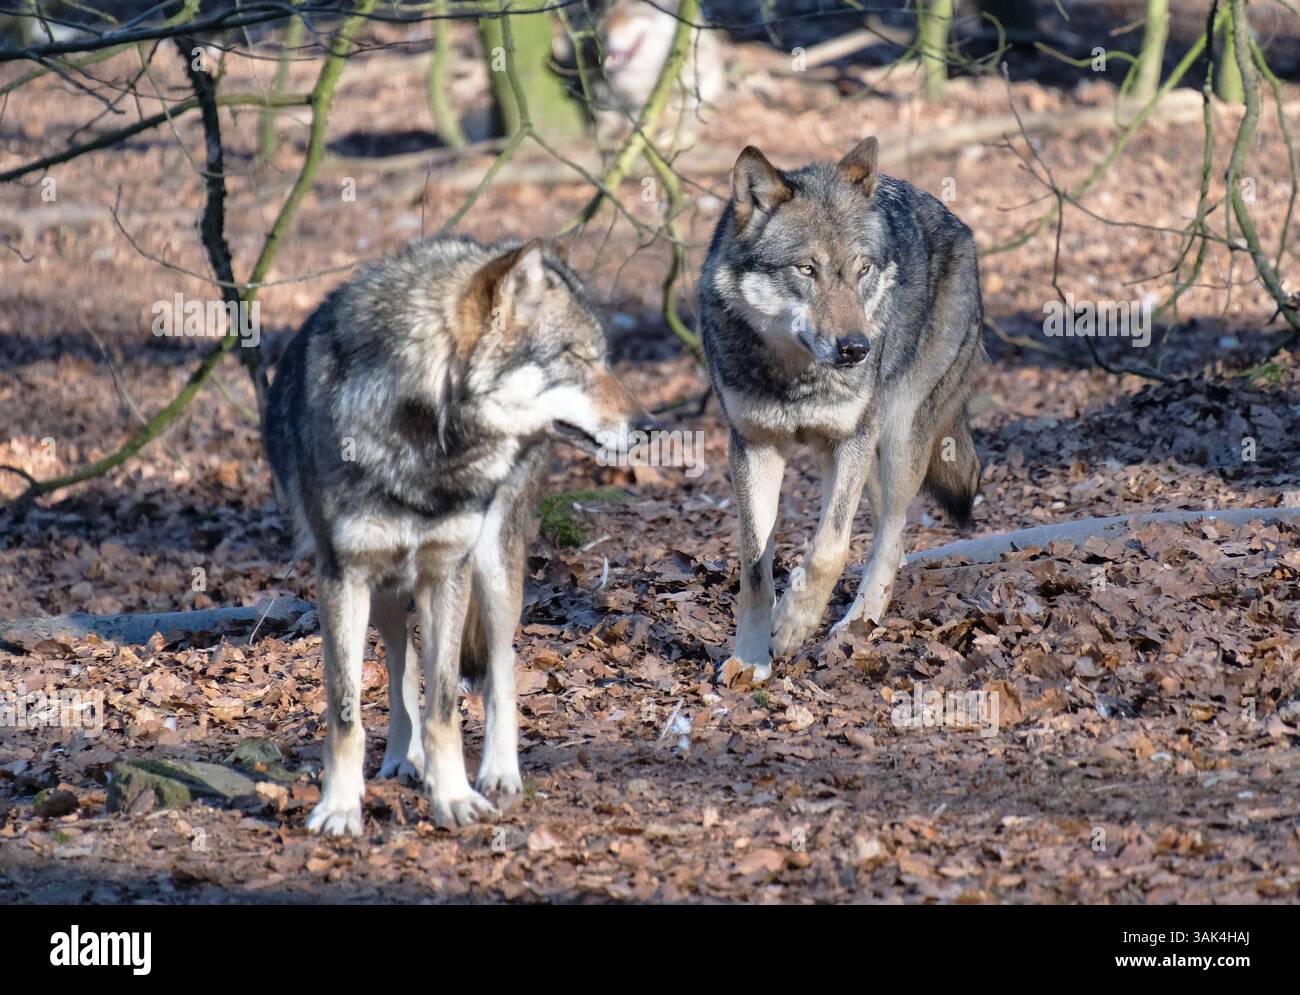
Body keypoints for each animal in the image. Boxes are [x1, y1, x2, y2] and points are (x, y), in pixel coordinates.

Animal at [263, 236, 642, 834]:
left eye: (601, 357)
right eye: (578, 358)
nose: (647, 426)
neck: (425, 445)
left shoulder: (448, 571)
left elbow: (444, 705)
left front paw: (455, 798)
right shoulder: (343, 576)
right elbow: (348, 711)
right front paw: (340, 806)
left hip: (489, 566)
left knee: (501, 667)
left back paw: (498, 772)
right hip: (387, 589)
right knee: (402, 665)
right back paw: (403, 757)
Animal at [700, 137, 984, 683]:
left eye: (862, 269)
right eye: (805, 269)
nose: (858, 348)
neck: (798, 379)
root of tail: (960, 224)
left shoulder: (853, 438)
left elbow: (830, 549)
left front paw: (792, 623)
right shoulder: (754, 446)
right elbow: (755, 568)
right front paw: (750, 658)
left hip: (897, 439)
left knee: (888, 536)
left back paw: (858, 621)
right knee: (889, 539)